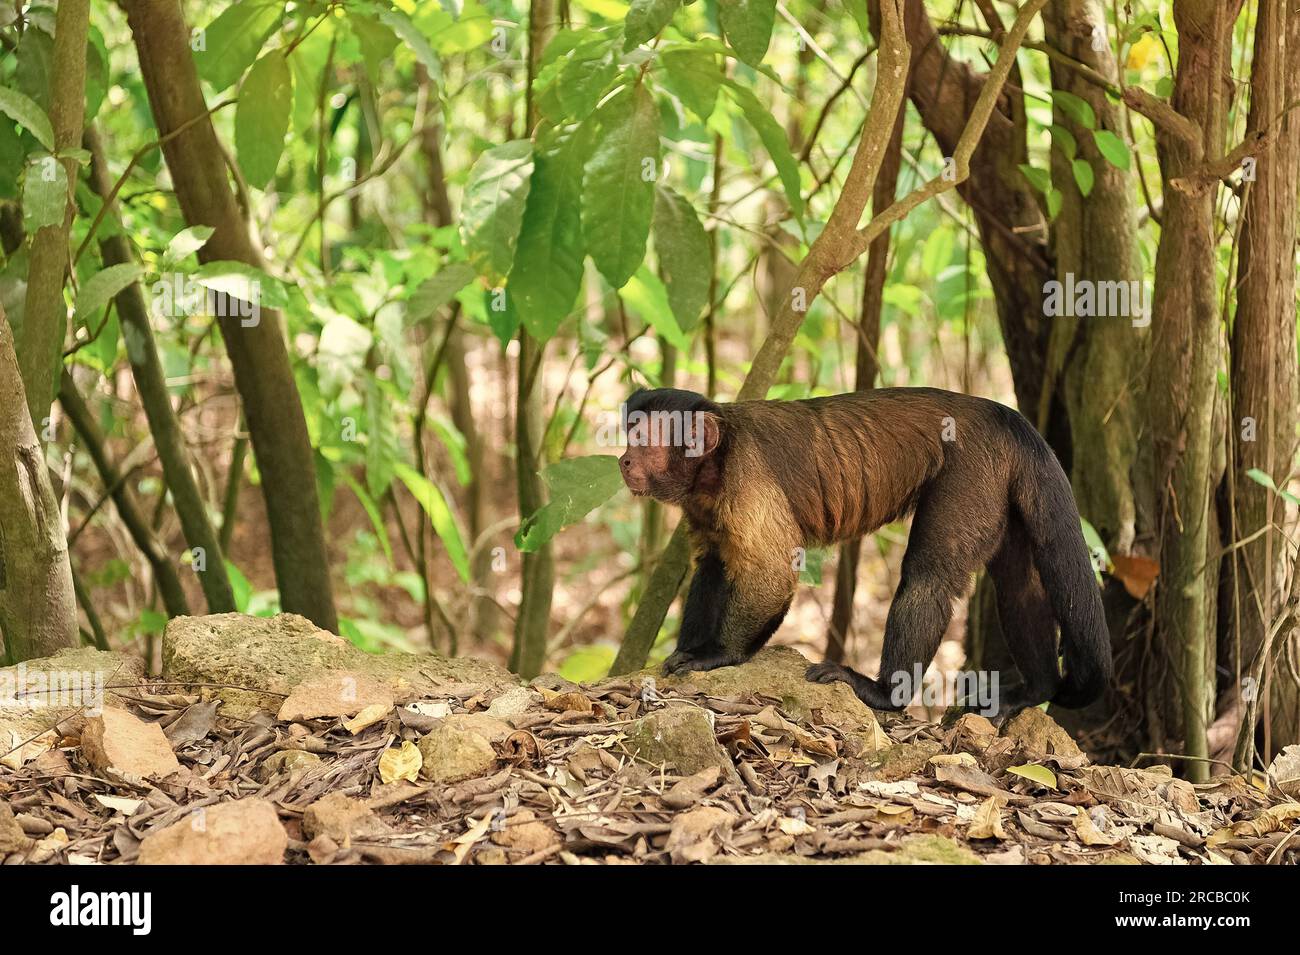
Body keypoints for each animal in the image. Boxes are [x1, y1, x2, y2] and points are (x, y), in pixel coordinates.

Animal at [618, 386, 1111, 715]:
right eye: (630, 436)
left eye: (642, 440)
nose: (622, 459)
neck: (714, 465)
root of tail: (999, 413)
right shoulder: (701, 503)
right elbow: (714, 564)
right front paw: (688, 648)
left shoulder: (746, 478)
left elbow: (772, 571)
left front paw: (718, 654)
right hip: (1002, 482)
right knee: (1018, 586)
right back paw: (1037, 690)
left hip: (973, 468)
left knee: (930, 575)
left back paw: (885, 694)